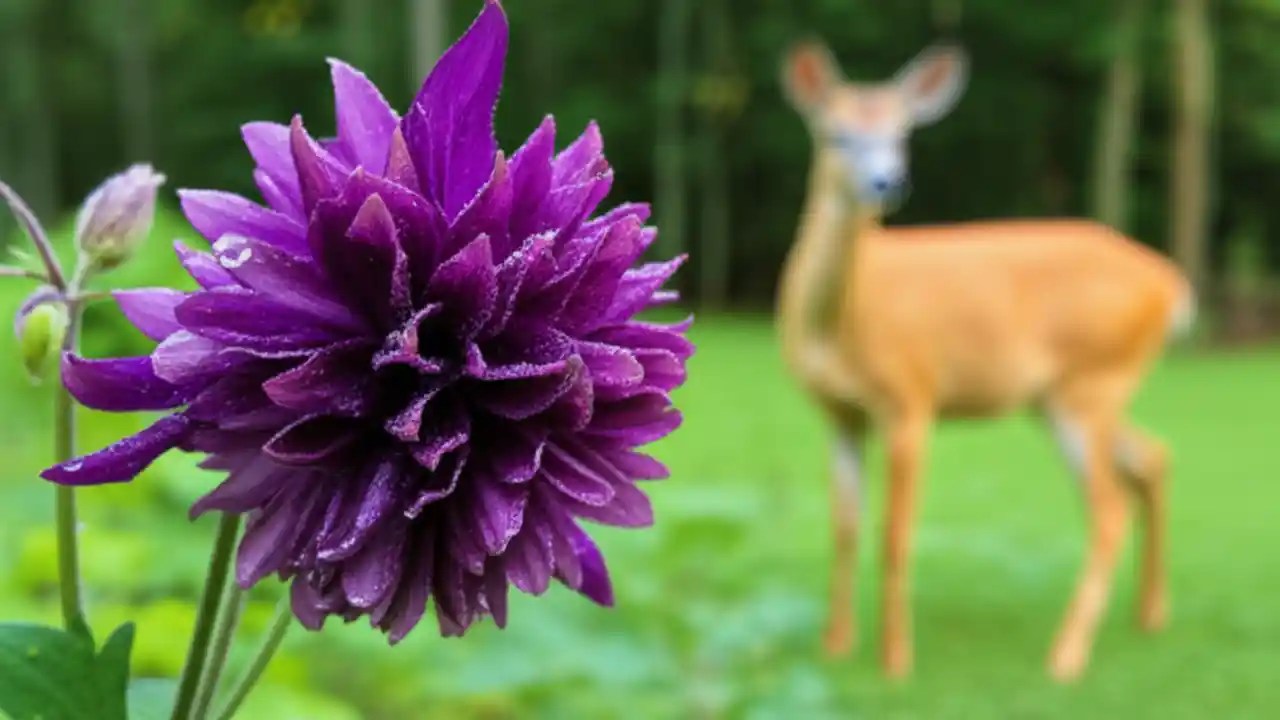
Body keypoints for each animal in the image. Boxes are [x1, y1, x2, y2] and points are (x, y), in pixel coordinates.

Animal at [777, 39, 1194, 682]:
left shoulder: (911, 396)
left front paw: (895, 661)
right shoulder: (838, 412)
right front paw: (835, 645)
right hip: (1070, 393)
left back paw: (1065, 656)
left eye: (903, 133)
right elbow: (843, 528)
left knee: (1109, 508)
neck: (839, 324)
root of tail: (1171, 285)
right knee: (1153, 457)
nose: (887, 182)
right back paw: (1149, 616)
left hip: (1092, 381)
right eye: (836, 133)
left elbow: (894, 530)